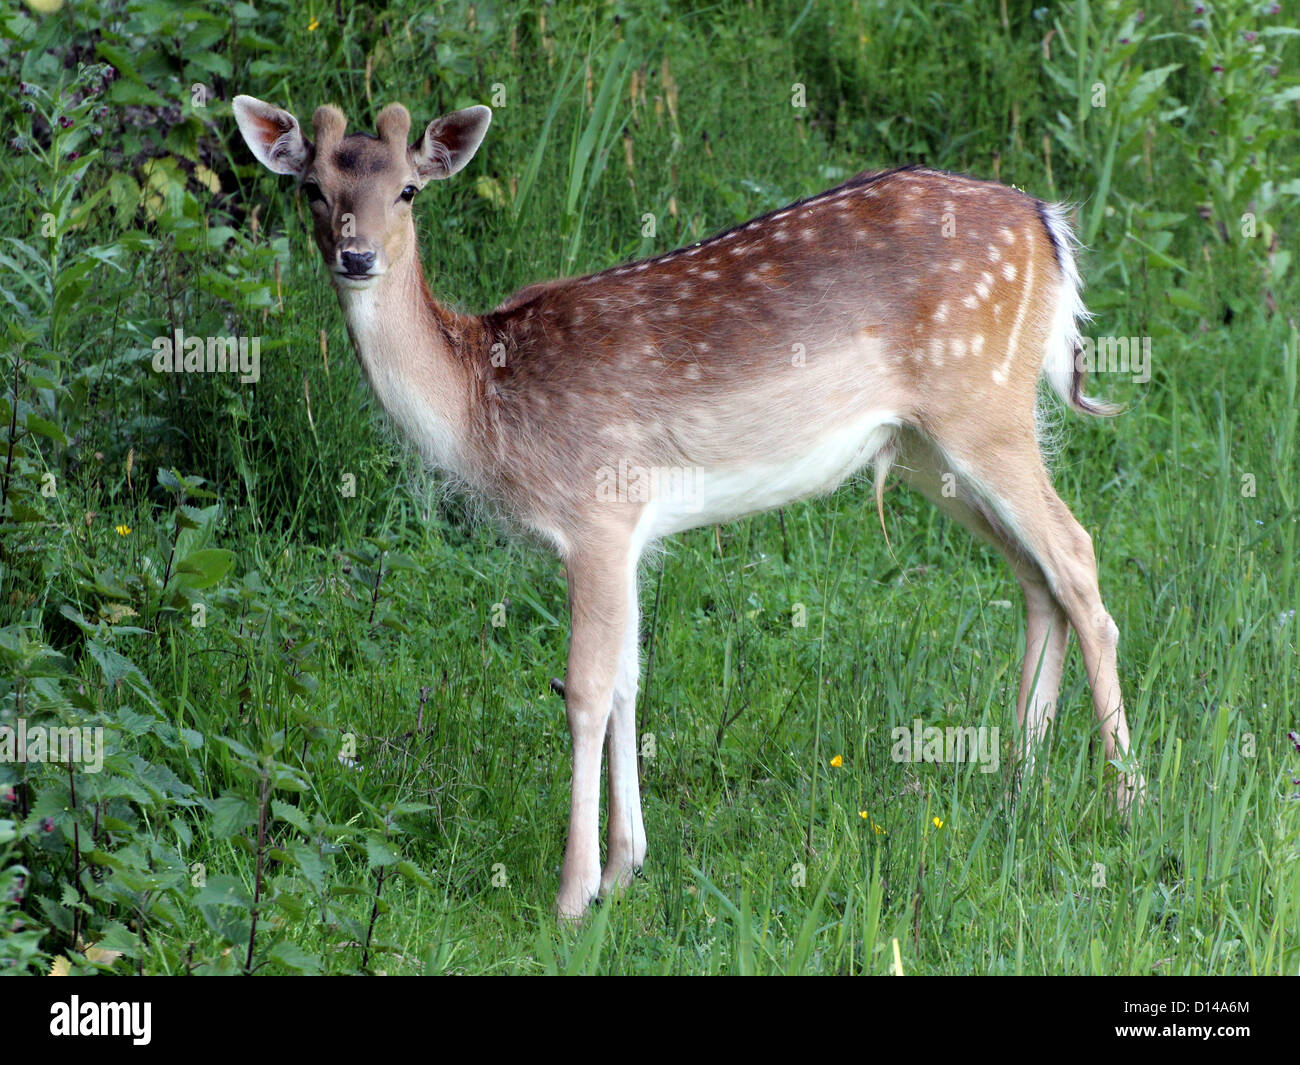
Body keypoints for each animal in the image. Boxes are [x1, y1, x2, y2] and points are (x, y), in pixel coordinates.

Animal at [232, 94, 1144, 920]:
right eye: (311, 188)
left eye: (409, 191)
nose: (356, 257)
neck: (482, 403)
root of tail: (1048, 224)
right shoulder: (633, 532)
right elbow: (631, 680)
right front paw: (627, 867)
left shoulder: (596, 513)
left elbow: (586, 689)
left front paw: (572, 894)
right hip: (929, 448)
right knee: (1036, 577)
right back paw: (1018, 781)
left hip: (982, 406)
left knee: (1079, 557)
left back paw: (1123, 800)